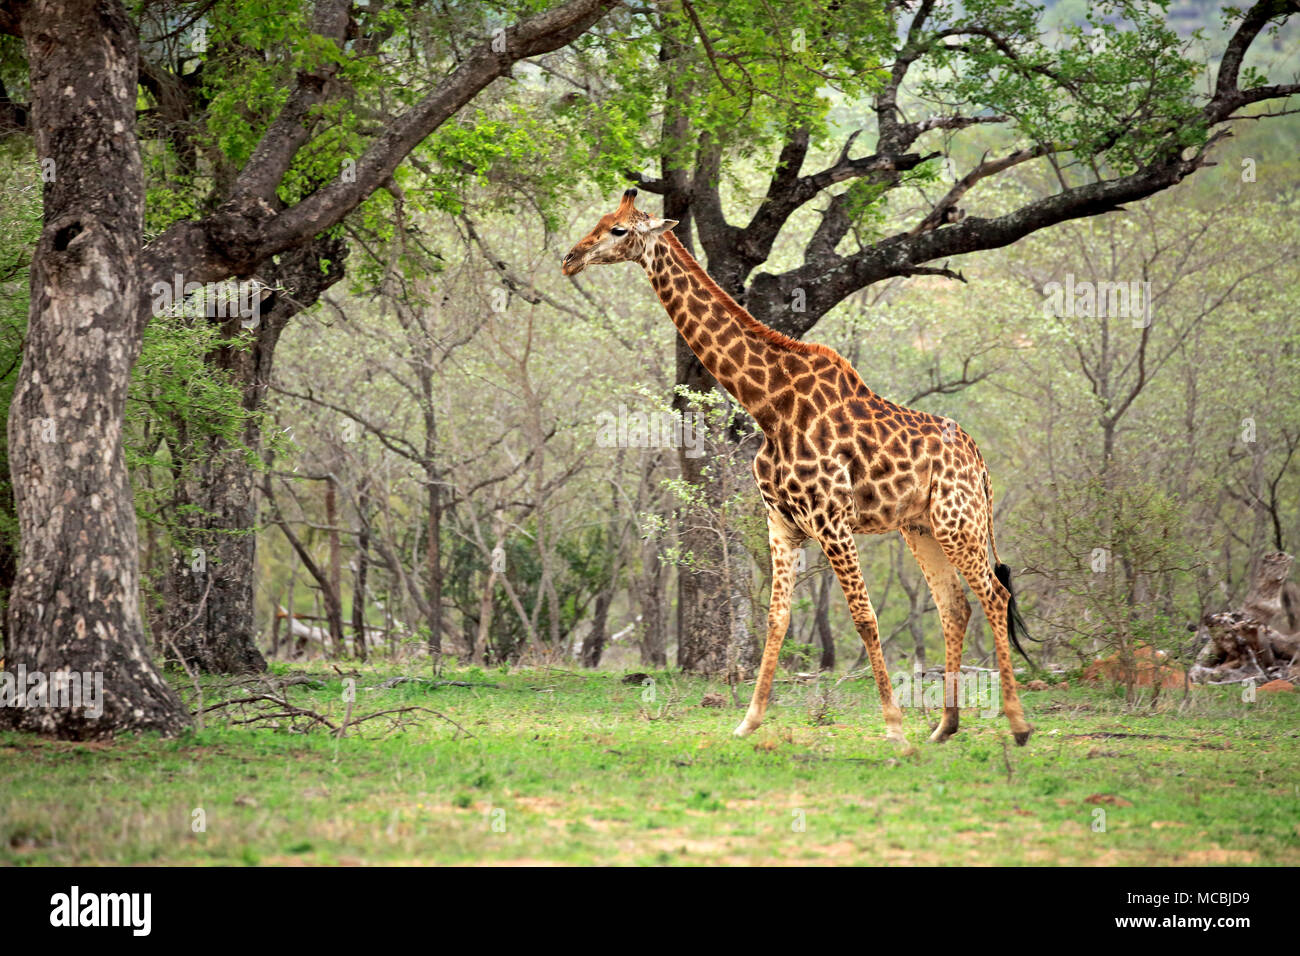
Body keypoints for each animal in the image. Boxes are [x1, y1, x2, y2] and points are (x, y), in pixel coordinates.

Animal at [563, 188, 1034, 750]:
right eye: (599, 220)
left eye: (618, 230)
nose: (569, 258)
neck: (768, 405)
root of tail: (981, 464)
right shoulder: (782, 523)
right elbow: (775, 617)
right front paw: (748, 720)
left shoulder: (832, 519)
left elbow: (863, 615)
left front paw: (894, 728)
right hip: (921, 528)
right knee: (955, 604)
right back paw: (945, 726)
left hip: (958, 521)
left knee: (995, 594)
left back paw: (1017, 724)